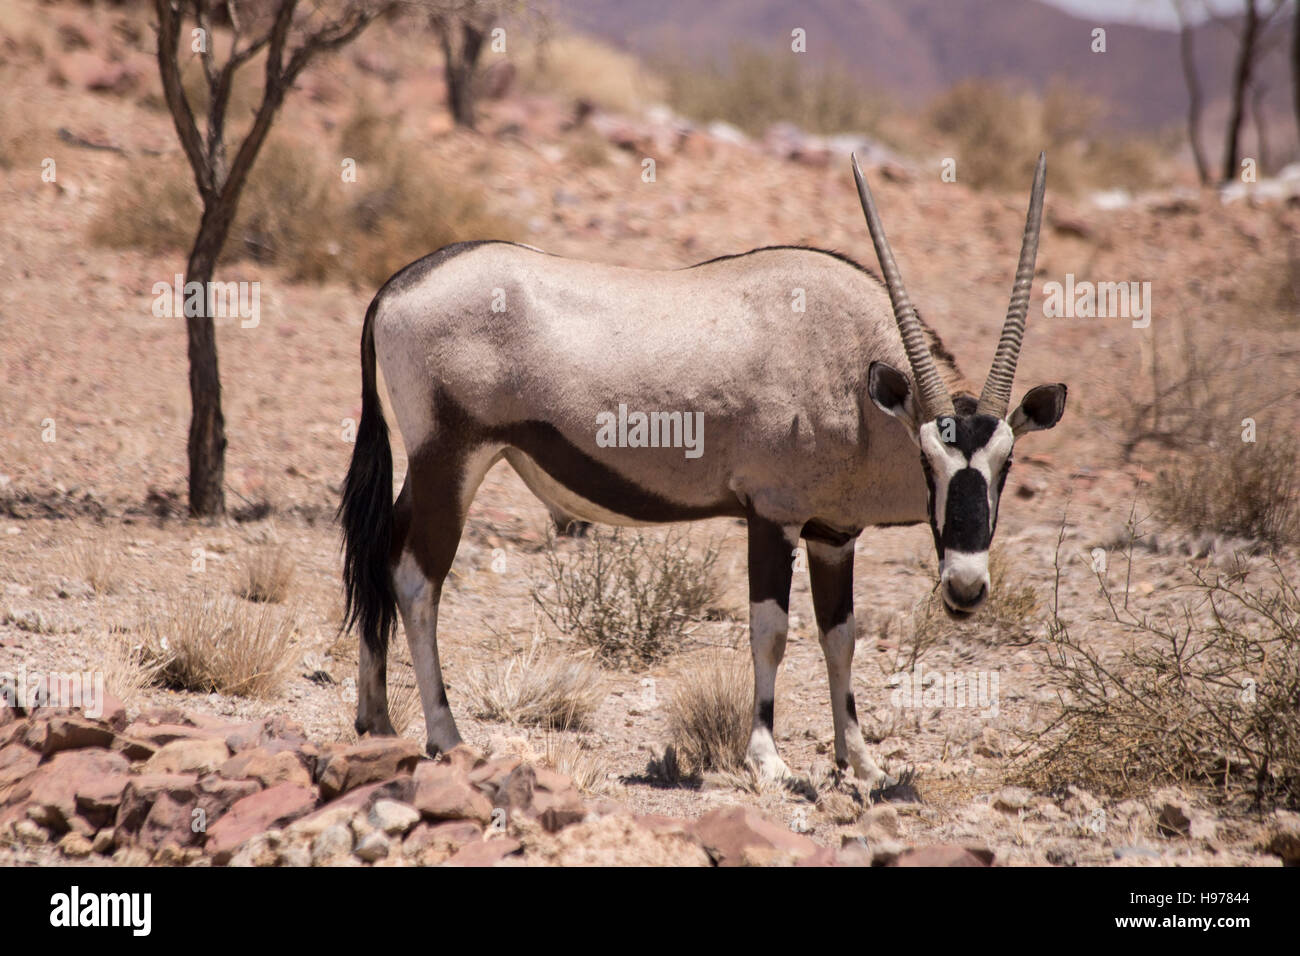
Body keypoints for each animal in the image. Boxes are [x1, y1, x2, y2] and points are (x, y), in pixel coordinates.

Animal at [340, 153, 1066, 788]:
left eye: (1004, 462)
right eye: (926, 459)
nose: (966, 588)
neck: (851, 374)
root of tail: (393, 289)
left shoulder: (833, 533)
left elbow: (840, 639)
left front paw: (860, 763)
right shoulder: (772, 517)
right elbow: (771, 633)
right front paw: (768, 760)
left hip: (432, 469)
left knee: (379, 553)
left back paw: (376, 721)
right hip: (451, 460)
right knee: (416, 579)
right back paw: (445, 735)